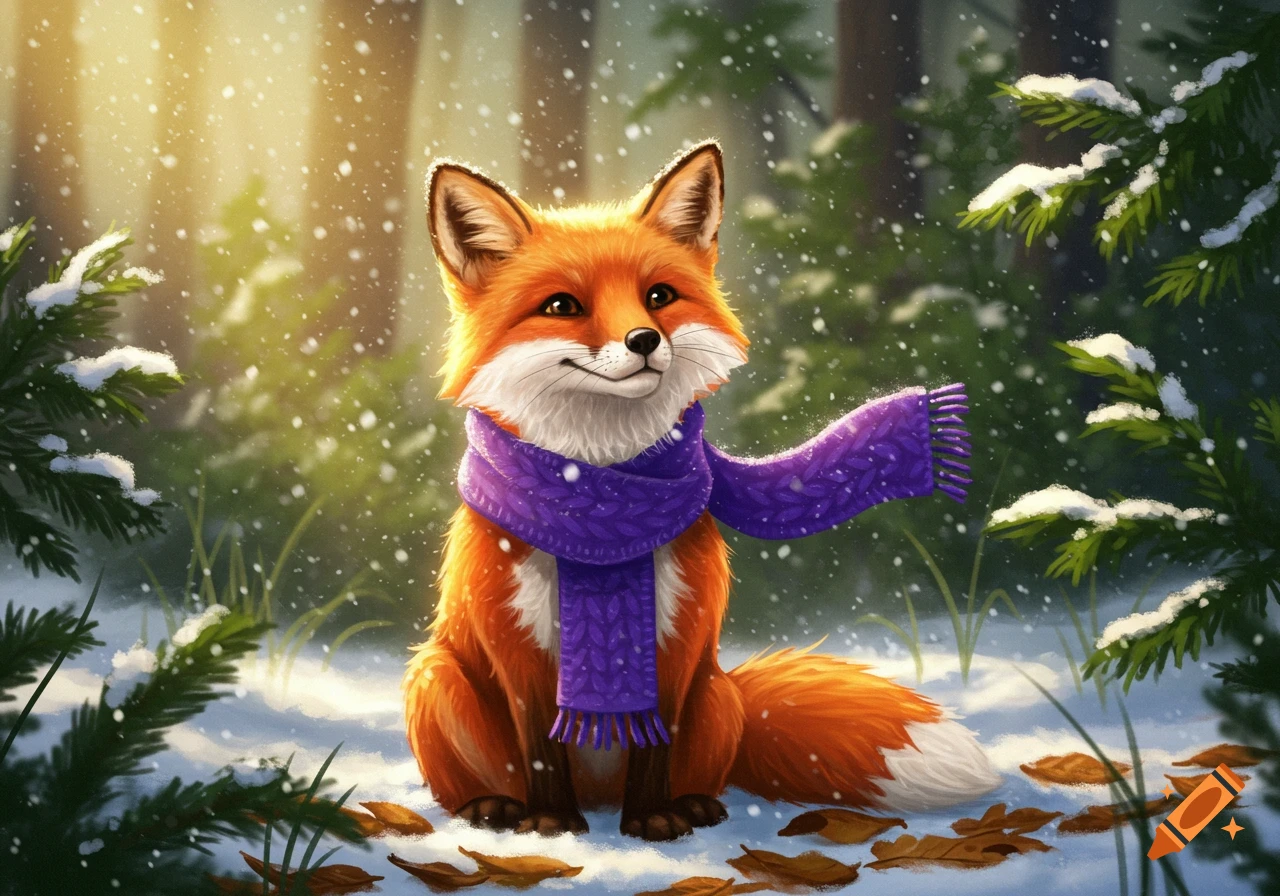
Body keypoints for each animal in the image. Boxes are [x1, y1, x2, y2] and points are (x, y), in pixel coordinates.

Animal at [403, 140, 1000, 841]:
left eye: (659, 296)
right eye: (562, 307)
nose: (643, 341)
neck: (599, 490)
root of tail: (599, 793)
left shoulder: (680, 638)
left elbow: (657, 745)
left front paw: (653, 819)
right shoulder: (515, 646)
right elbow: (541, 750)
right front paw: (551, 822)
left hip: (718, 695)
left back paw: (690, 806)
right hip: (434, 674)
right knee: (473, 781)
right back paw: (493, 808)